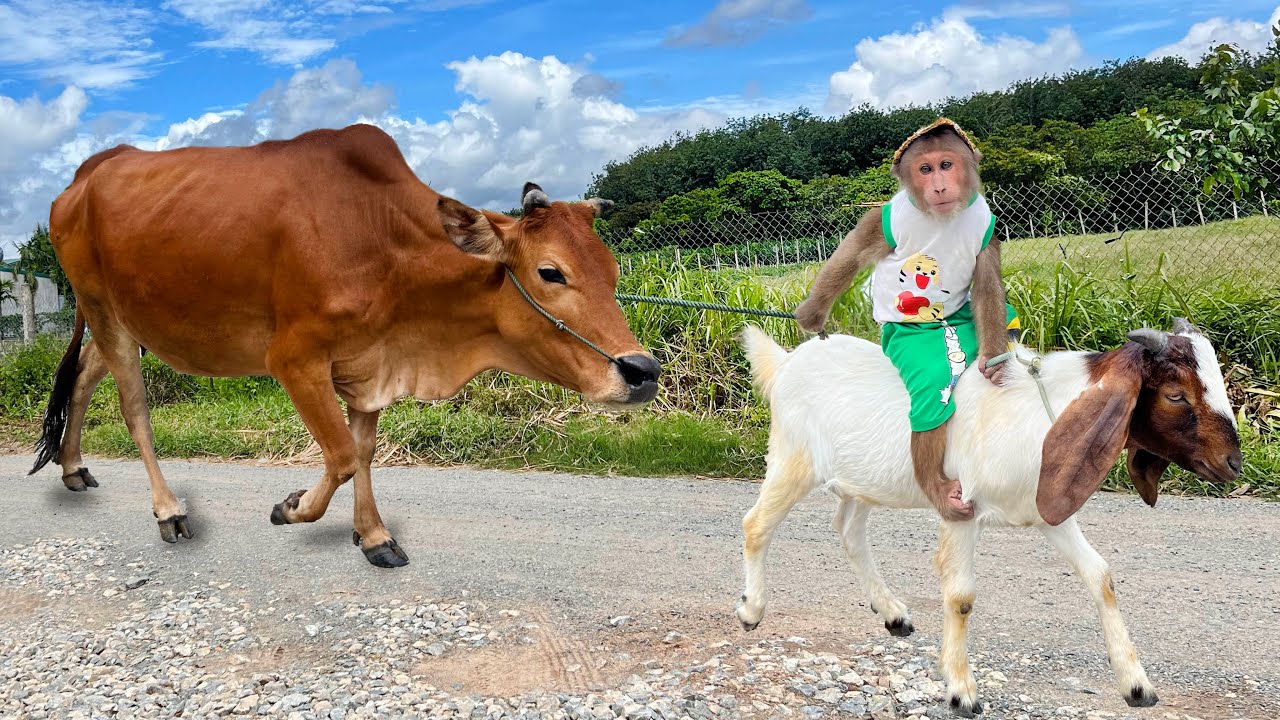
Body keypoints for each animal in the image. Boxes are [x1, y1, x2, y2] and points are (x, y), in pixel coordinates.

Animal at [29, 123, 662, 568]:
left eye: (613, 272)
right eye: (551, 273)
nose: (643, 371)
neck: (384, 244)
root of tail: (85, 175)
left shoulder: (367, 365)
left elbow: (362, 453)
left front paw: (374, 535)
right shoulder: (294, 358)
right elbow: (338, 455)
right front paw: (290, 508)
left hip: (115, 319)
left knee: (83, 377)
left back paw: (73, 468)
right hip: (104, 310)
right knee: (134, 408)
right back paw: (169, 510)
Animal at [735, 318, 1242, 716]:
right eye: (1176, 395)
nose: (1234, 464)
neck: (1040, 414)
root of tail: (786, 362)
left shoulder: (1051, 510)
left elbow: (1101, 576)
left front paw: (1137, 685)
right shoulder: (962, 509)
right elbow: (960, 596)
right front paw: (962, 693)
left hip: (864, 480)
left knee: (847, 530)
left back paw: (894, 614)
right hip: (793, 460)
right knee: (755, 524)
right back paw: (751, 609)